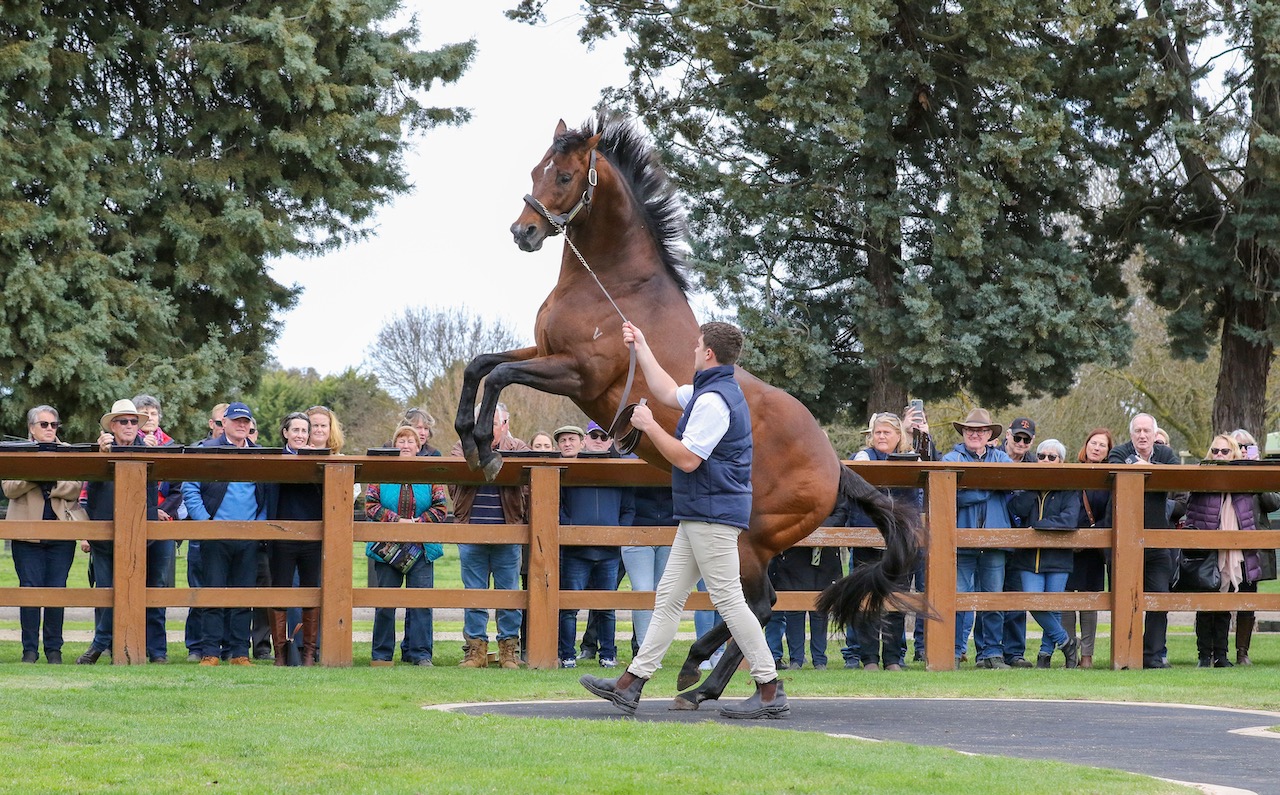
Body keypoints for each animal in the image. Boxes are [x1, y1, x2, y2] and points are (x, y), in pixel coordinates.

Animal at [454, 115, 921, 709]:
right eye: (536, 169)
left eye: (563, 175)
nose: (524, 232)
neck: (614, 290)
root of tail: (836, 468)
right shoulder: (542, 351)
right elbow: (480, 365)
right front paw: (468, 437)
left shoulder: (576, 373)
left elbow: (498, 377)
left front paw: (486, 450)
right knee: (754, 607)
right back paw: (701, 682)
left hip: (748, 541)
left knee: (758, 605)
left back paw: (703, 678)